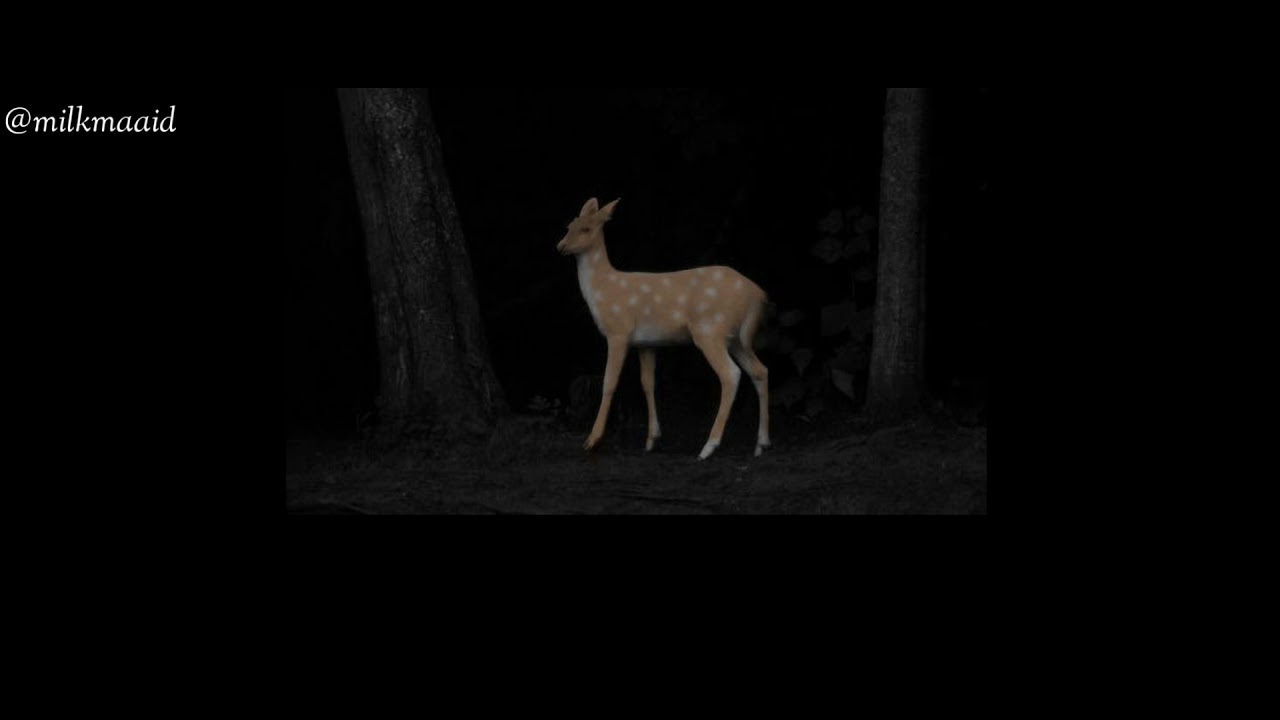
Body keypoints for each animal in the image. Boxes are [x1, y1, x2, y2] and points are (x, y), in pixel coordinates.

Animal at [557, 198, 771, 460]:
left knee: (731, 374)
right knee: (760, 371)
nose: (561, 246)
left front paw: (592, 441)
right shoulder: (646, 343)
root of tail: (758, 295)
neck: (602, 289)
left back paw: (708, 447)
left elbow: (609, 381)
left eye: (585, 229)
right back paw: (761, 444)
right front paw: (652, 439)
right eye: (569, 225)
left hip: (709, 329)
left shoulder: (618, 331)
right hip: (737, 338)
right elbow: (648, 383)